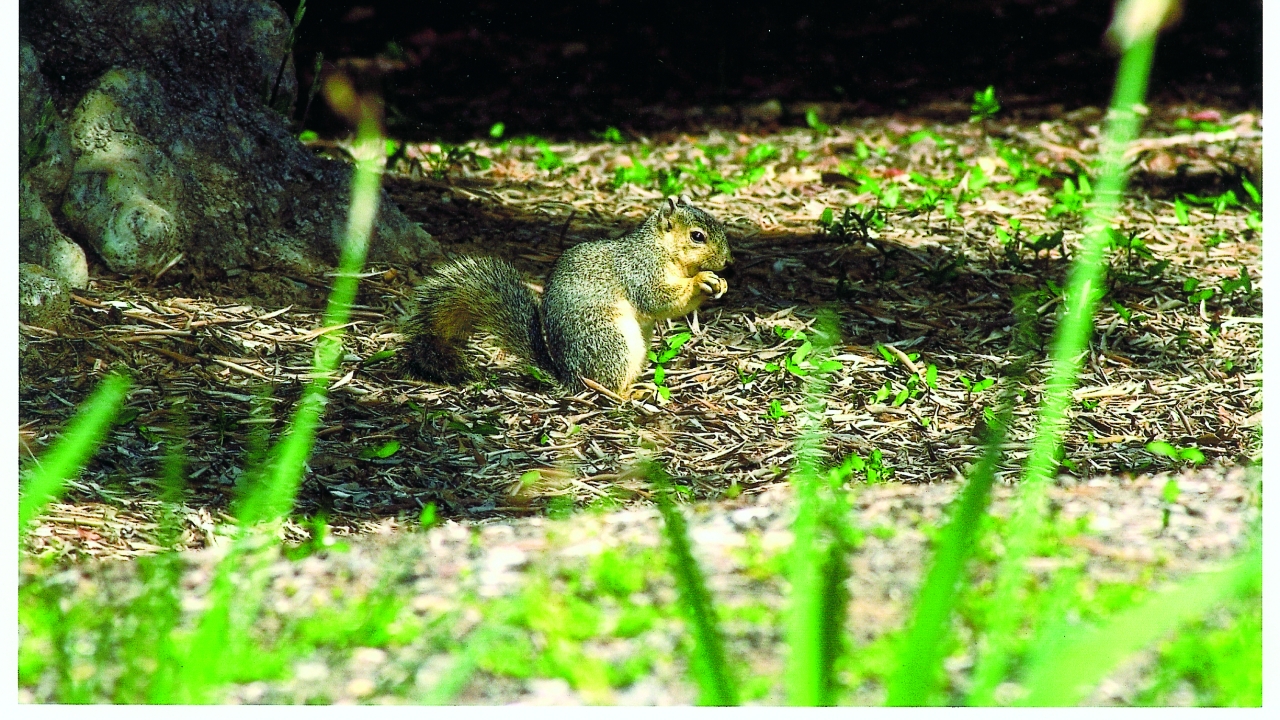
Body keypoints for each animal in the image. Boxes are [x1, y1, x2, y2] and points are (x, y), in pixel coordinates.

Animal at [403, 195, 731, 399]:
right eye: (697, 236)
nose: (729, 261)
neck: (662, 249)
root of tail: (568, 377)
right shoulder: (641, 271)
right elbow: (658, 299)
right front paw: (701, 281)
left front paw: (722, 284)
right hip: (610, 340)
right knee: (606, 386)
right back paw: (630, 394)